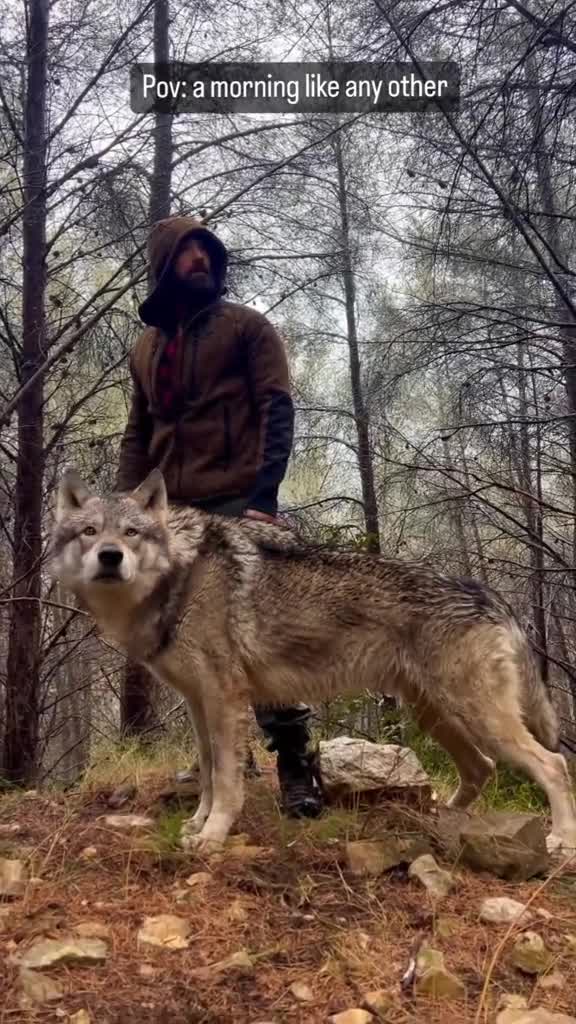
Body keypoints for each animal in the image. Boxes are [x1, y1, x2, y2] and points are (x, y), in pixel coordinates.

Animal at [50, 467, 576, 856]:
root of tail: (488, 594)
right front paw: (197, 824)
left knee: (553, 765)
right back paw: (446, 822)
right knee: (481, 769)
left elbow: (225, 780)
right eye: (90, 532)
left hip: (477, 715)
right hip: (435, 715)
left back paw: (559, 841)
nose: (111, 557)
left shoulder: (224, 699)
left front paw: (214, 836)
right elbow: (207, 775)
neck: (181, 575)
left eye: (132, 533)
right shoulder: (199, 704)